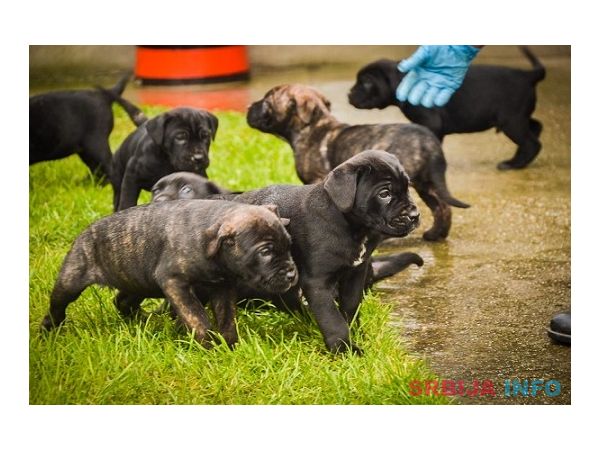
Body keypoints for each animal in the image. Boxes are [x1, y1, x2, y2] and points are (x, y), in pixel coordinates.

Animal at [39, 200, 298, 348]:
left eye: (289, 245)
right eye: (265, 252)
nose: (291, 274)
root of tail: (85, 232)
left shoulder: (222, 288)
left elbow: (226, 318)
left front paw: (230, 345)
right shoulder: (175, 283)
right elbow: (196, 317)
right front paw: (209, 345)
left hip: (139, 283)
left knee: (122, 300)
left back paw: (142, 321)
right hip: (72, 279)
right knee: (58, 305)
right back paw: (48, 330)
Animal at [245, 83, 468, 241]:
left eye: (266, 101)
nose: (248, 107)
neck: (312, 125)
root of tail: (428, 141)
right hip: (425, 183)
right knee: (442, 207)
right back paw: (436, 235)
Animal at [346, 46, 548, 171]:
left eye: (366, 83)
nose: (348, 94)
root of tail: (529, 75)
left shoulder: (431, 123)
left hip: (511, 121)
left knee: (532, 142)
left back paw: (513, 164)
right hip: (518, 117)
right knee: (536, 127)